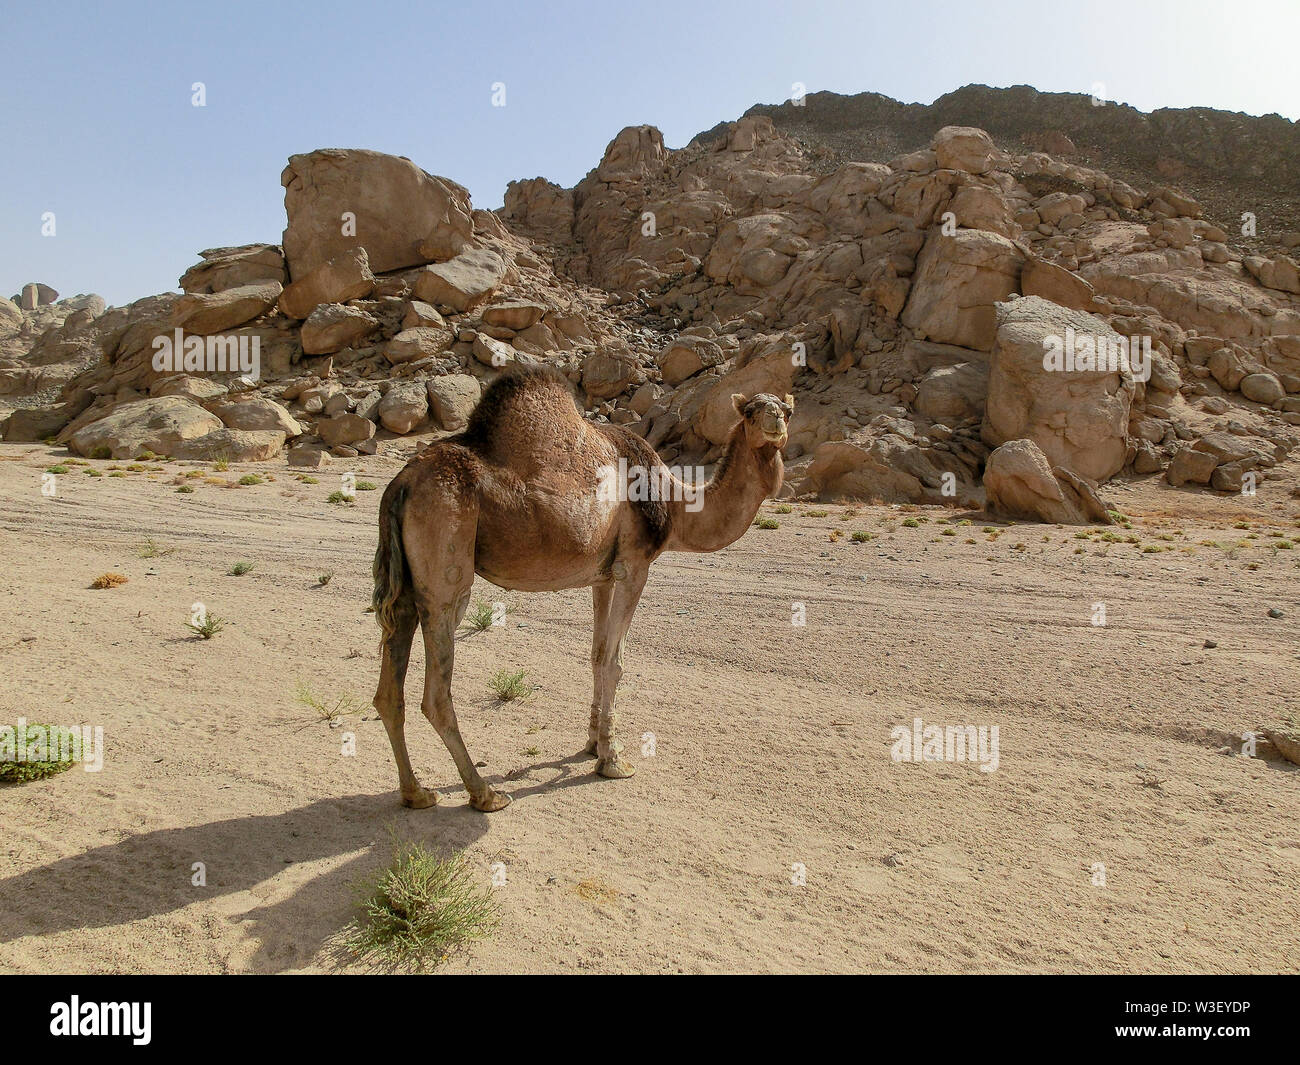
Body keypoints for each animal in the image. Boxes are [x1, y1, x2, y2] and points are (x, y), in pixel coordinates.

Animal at [371, 365, 792, 811]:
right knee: (436, 691)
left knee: (390, 687)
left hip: (407, 585)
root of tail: (399, 485)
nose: (776, 424)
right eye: (751, 412)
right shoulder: (634, 566)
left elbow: (596, 655)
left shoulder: (602, 577)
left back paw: (416, 792)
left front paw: (593, 744)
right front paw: (613, 760)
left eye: (785, 409)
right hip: (446, 566)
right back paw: (485, 792)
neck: (676, 503)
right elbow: (615, 662)